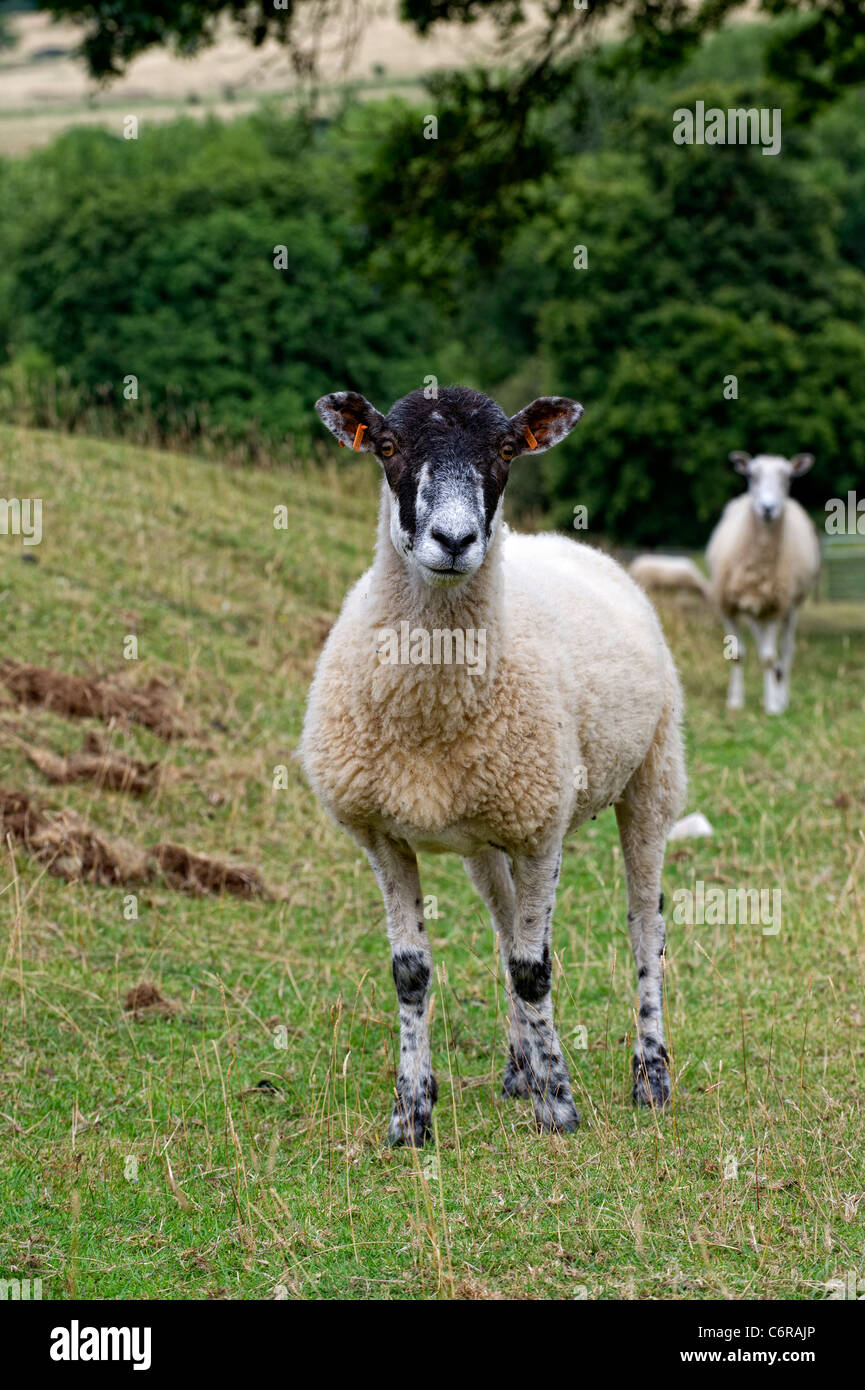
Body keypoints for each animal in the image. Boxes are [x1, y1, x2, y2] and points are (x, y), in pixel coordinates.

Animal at [301, 386, 686, 1146]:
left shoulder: (540, 830)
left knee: (643, 928)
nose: (453, 541)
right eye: (385, 446)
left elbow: (535, 971)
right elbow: (412, 974)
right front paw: (410, 1116)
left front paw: (559, 1108)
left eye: (506, 449)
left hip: (652, 774)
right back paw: (518, 1069)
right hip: (486, 835)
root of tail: (563, 541)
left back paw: (648, 1077)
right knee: (508, 924)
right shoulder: (382, 836)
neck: (432, 710)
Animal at [706, 452, 820, 715]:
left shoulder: (775, 607)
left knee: (785, 649)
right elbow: (738, 654)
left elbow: (768, 658)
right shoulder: (726, 605)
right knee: (761, 644)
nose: (768, 509)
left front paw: (773, 706)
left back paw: (782, 693)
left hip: (791, 606)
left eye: (788, 478)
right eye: (751, 475)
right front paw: (735, 701)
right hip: (753, 609)